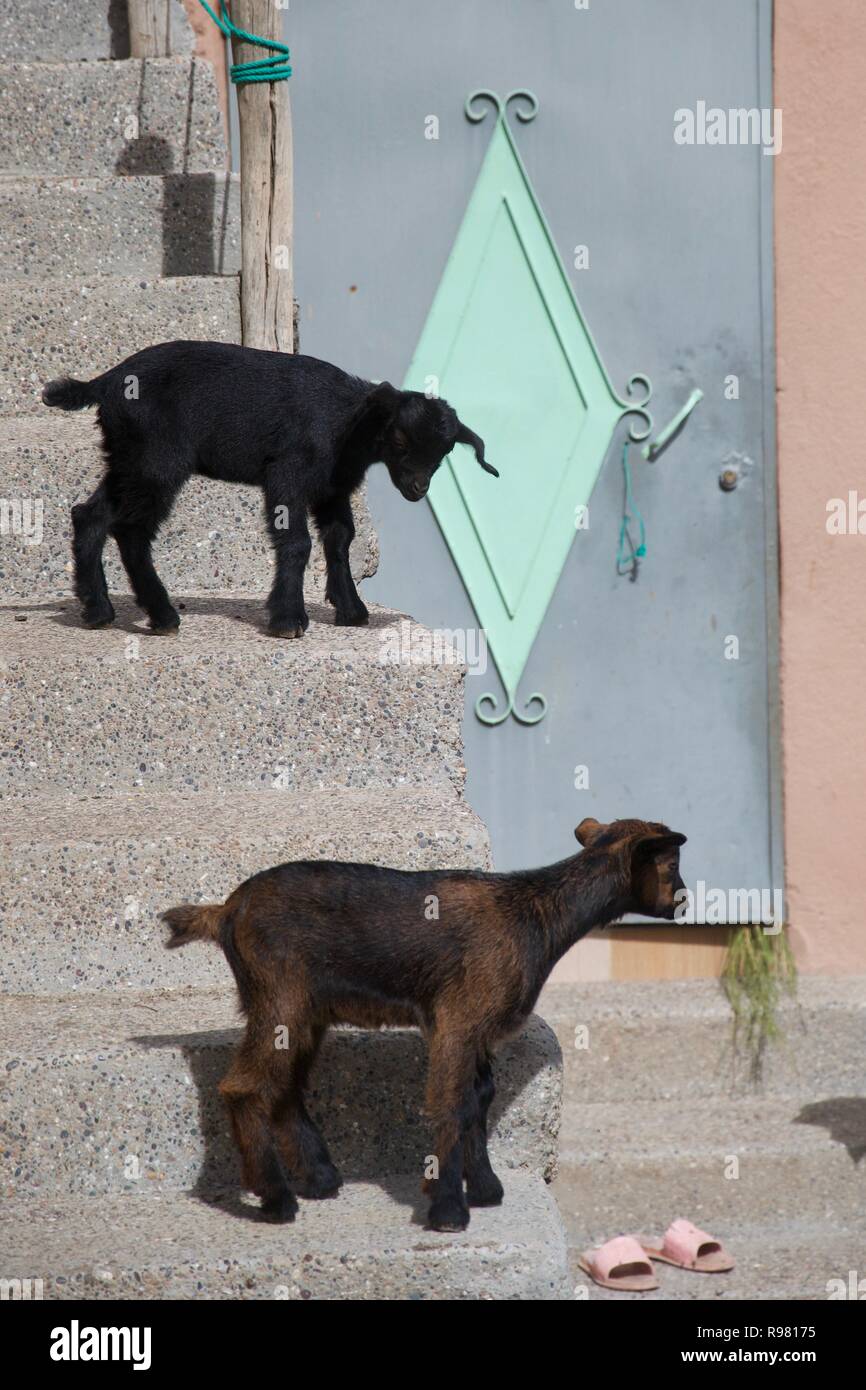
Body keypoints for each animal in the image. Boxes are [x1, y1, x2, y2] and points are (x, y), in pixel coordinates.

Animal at [42, 340, 496, 637]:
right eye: (399, 439)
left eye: (445, 451)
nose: (418, 487)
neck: (348, 422)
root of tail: (106, 381)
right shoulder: (287, 473)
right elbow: (297, 542)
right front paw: (288, 619)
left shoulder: (332, 488)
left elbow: (340, 539)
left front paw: (351, 610)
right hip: (156, 462)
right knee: (131, 529)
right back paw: (161, 615)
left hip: (127, 461)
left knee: (91, 515)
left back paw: (99, 610)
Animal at [162, 816, 687, 1232]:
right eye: (671, 862)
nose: (683, 901)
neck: (536, 913)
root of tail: (224, 911)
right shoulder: (457, 1019)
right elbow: (452, 1104)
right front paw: (449, 1210)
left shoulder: (475, 1030)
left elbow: (478, 1099)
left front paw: (484, 1188)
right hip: (280, 999)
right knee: (244, 1087)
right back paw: (276, 1200)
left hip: (304, 1013)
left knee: (284, 1088)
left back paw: (319, 1179)